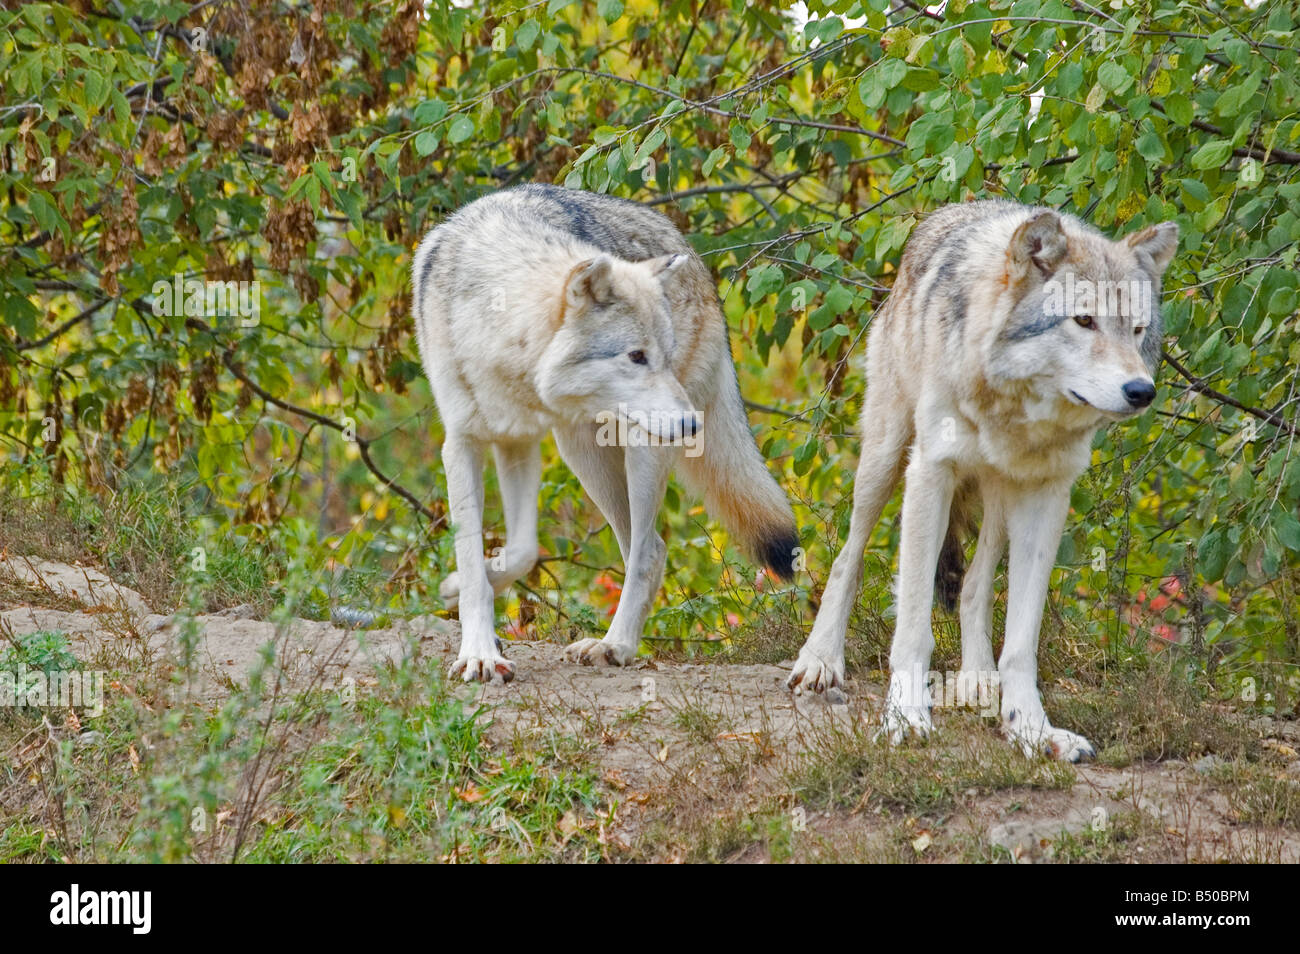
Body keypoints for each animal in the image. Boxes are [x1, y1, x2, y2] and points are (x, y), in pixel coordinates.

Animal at [412, 184, 799, 682]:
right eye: (635, 356)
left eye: (663, 355)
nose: (692, 425)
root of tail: (688, 249)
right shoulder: (483, 442)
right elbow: (512, 552)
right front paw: (477, 640)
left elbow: (515, 552)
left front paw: (473, 629)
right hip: (582, 453)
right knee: (640, 547)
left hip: (629, 451)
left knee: (649, 551)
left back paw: (615, 645)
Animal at [787, 200, 1178, 762]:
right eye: (1084, 320)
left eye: (1139, 330)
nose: (1142, 390)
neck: (1015, 406)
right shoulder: (930, 472)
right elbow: (912, 628)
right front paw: (905, 718)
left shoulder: (1050, 492)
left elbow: (1021, 642)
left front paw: (1031, 728)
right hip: (885, 457)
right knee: (848, 556)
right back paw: (819, 661)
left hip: (1001, 491)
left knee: (974, 585)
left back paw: (978, 681)